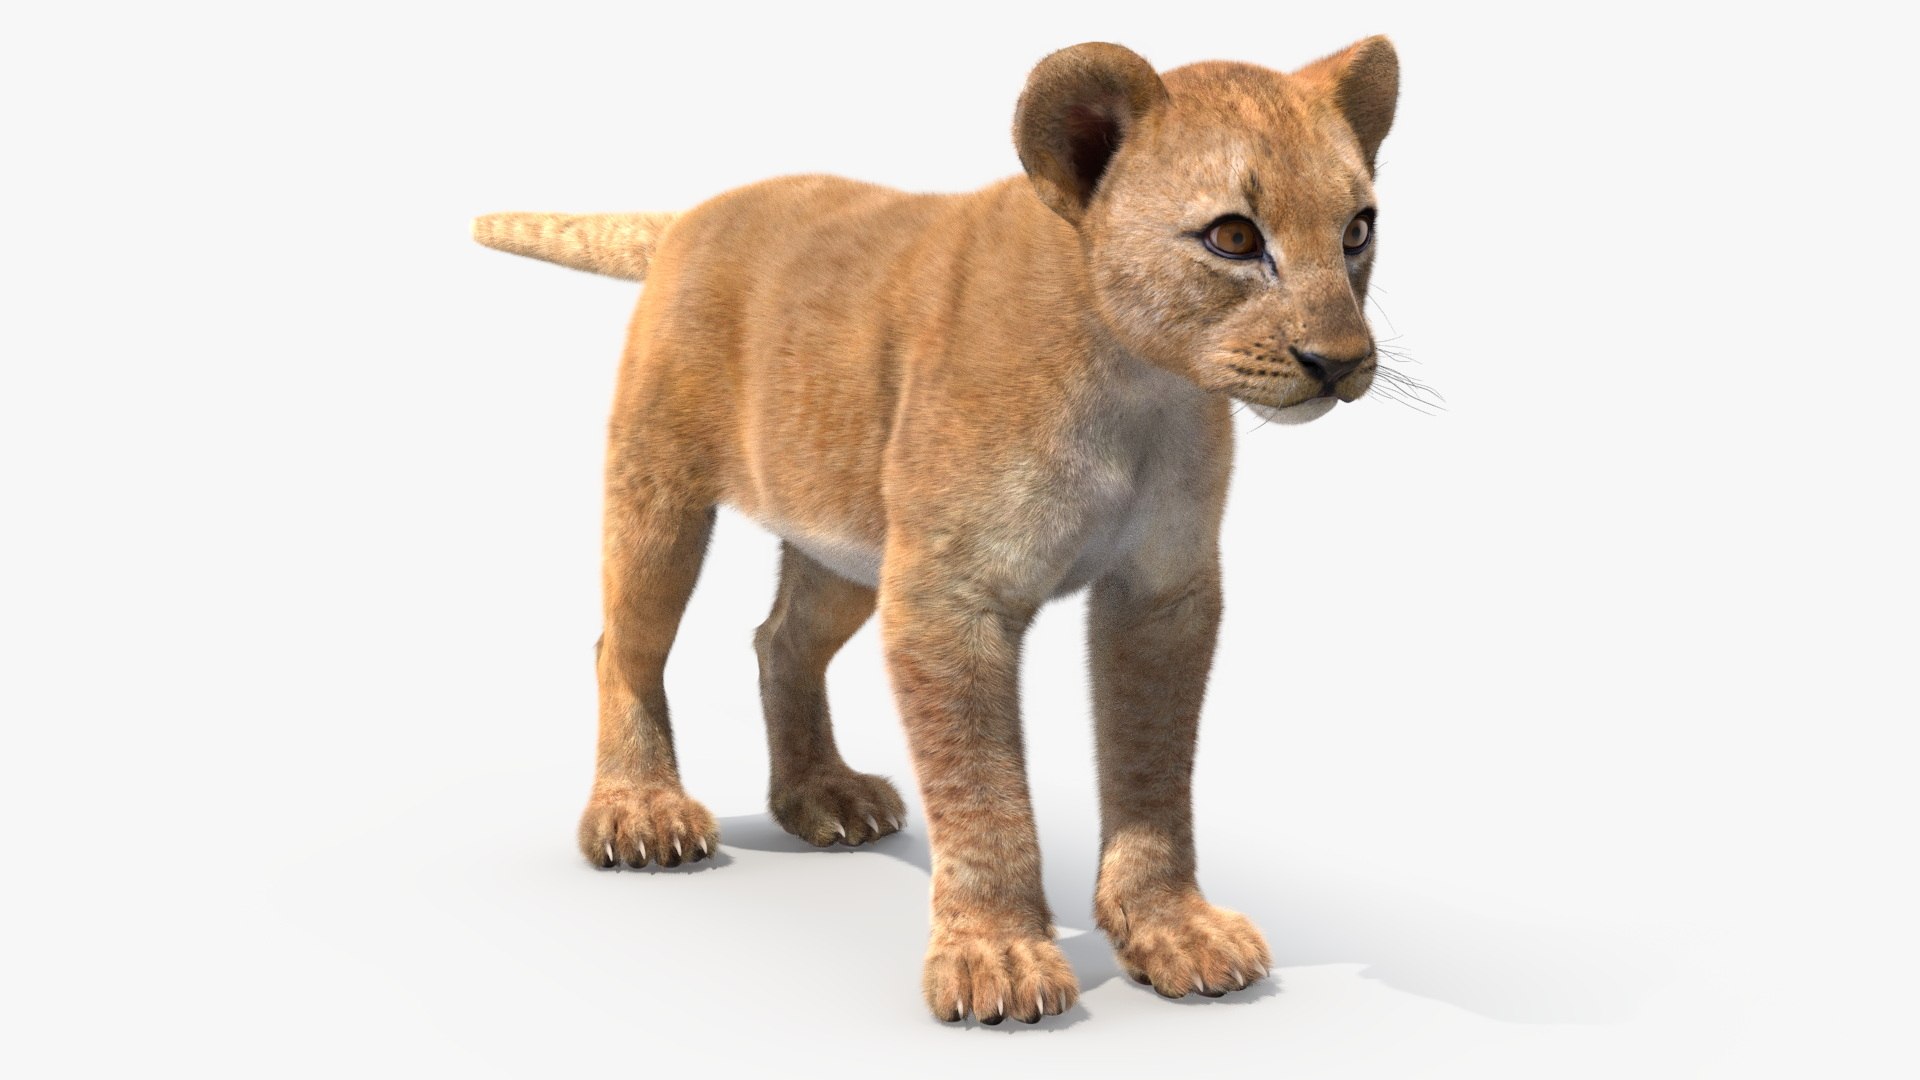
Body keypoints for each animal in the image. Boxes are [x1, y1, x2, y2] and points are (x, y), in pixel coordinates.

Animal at [472, 36, 1399, 1024]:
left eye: (1356, 231)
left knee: (780, 639)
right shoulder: (948, 596)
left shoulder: (1164, 592)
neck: (1138, 386)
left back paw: (822, 795)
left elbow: (1154, 764)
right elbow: (983, 788)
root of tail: (696, 212)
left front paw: (1171, 930)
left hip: (844, 538)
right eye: (1234, 237)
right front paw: (998, 958)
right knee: (625, 643)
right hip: (661, 487)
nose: (1341, 362)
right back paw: (640, 812)